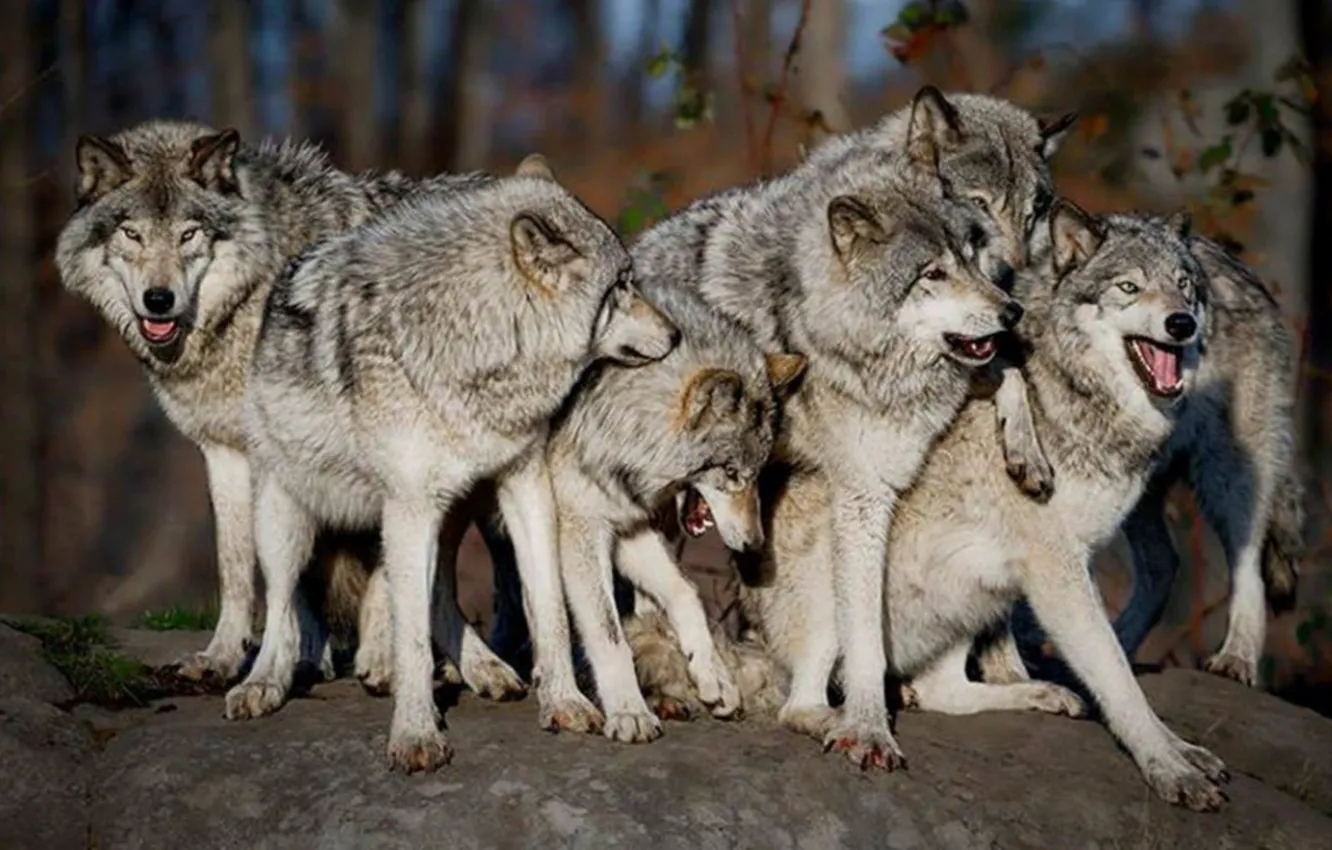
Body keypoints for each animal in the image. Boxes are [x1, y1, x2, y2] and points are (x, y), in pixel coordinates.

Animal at [54, 120, 529, 699]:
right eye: (132, 234)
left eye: (189, 234)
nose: (159, 300)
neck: (251, 299)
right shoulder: (228, 453)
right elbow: (241, 564)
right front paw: (237, 659)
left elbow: (373, 564)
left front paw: (375, 659)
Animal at [223, 156, 678, 772]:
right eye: (623, 285)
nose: (676, 333)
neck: (478, 342)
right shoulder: (411, 507)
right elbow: (412, 640)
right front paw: (417, 734)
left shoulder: (525, 485)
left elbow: (549, 610)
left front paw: (564, 702)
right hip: (288, 519)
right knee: (282, 606)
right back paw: (264, 683)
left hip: (447, 514)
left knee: (435, 593)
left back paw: (484, 668)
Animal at [986, 231, 1304, 688]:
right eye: (1129, 287)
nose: (1182, 324)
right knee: (1164, 564)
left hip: (1226, 477)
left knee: (1247, 564)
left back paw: (1236, 658)